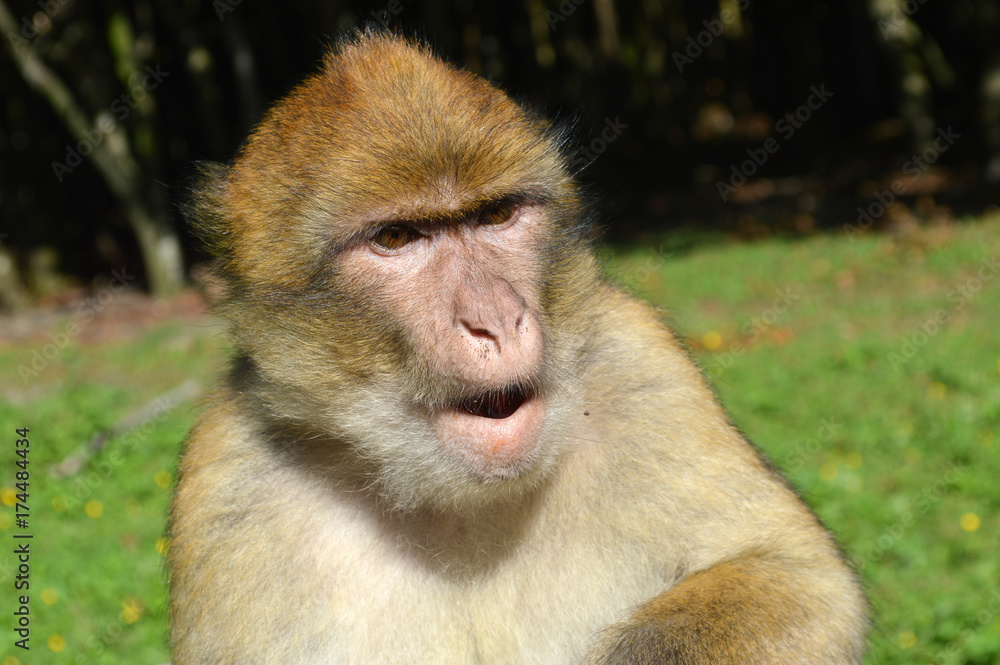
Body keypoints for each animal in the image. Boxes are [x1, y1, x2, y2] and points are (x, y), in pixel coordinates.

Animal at [168, 31, 867, 665]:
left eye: (496, 215)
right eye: (395, 238)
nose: (497, 319)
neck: (456, 496)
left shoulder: (641, 363)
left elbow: (796, 576)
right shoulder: (232, 481)